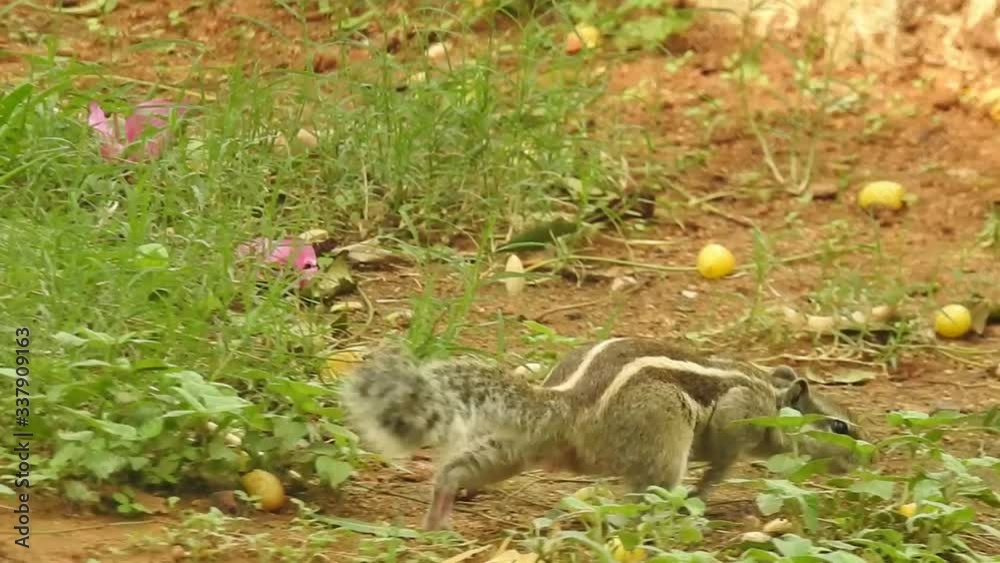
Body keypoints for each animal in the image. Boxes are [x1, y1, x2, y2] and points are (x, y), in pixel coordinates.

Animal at [340, 337, 867, 531]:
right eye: (841, 426)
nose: (869, 459)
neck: (771, 395)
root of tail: (566, 402)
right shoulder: (740, 413)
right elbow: (723, 458)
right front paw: (707, 492)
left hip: (520, 446)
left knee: (458, 468)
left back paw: (437, 518)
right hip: (664, 440)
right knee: (643, 499)